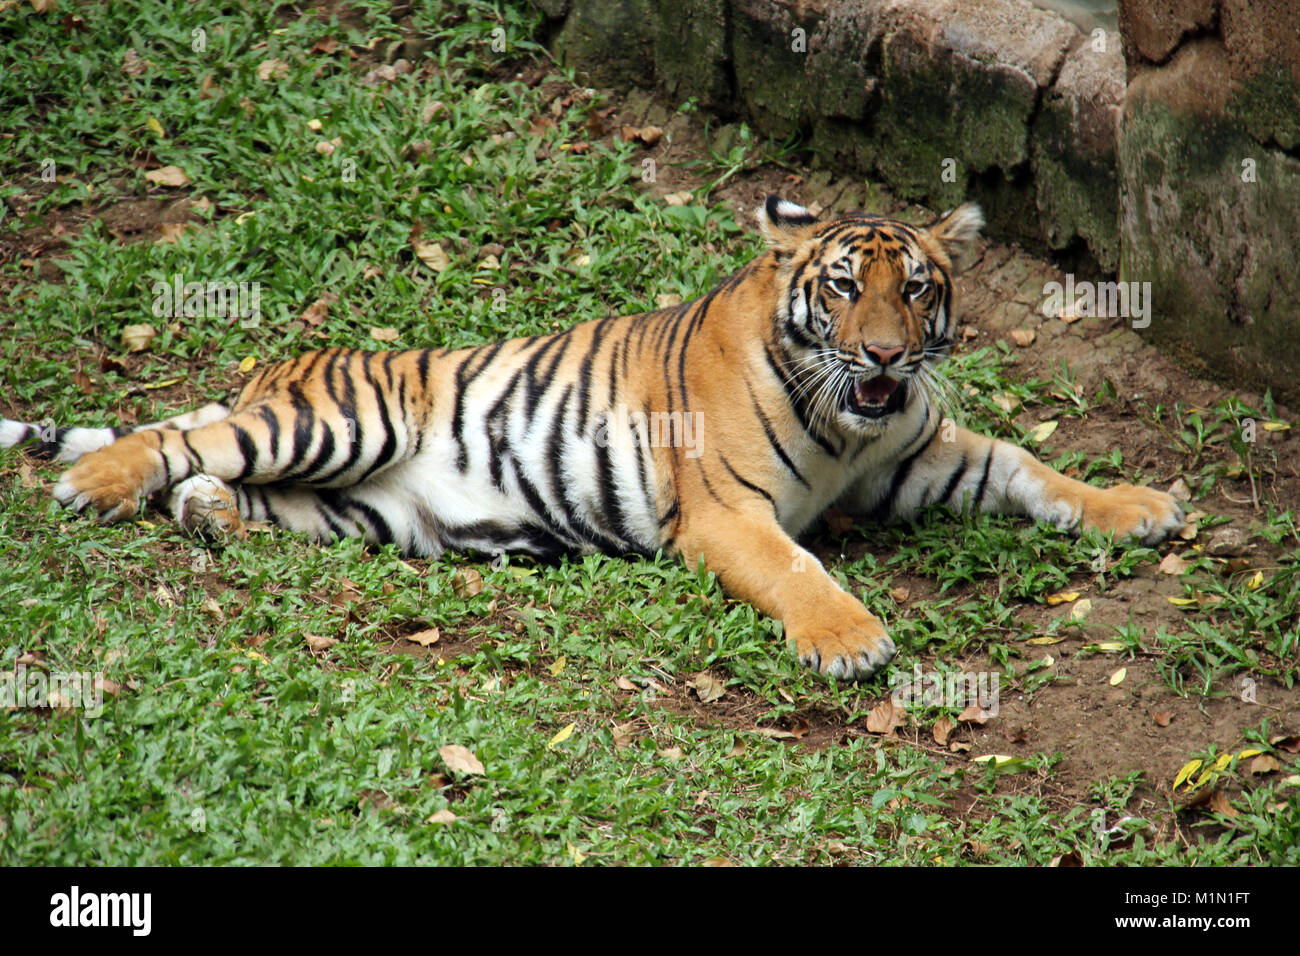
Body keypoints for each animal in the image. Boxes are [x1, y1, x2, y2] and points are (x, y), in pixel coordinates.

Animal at [2, 195, 1185, 680]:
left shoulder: (915, 459)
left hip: (353, 510)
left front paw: (1138, 508)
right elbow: (797, 569)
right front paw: (850, 638)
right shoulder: (727, 513)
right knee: (178, 441)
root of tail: (271, 366)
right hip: (339, 419)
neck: (851, 425)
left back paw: (210, 522)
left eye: (921, 288)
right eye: (847, 287)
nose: (887, 356)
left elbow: (1030, 468)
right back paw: (95, 483)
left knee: (216, 480)